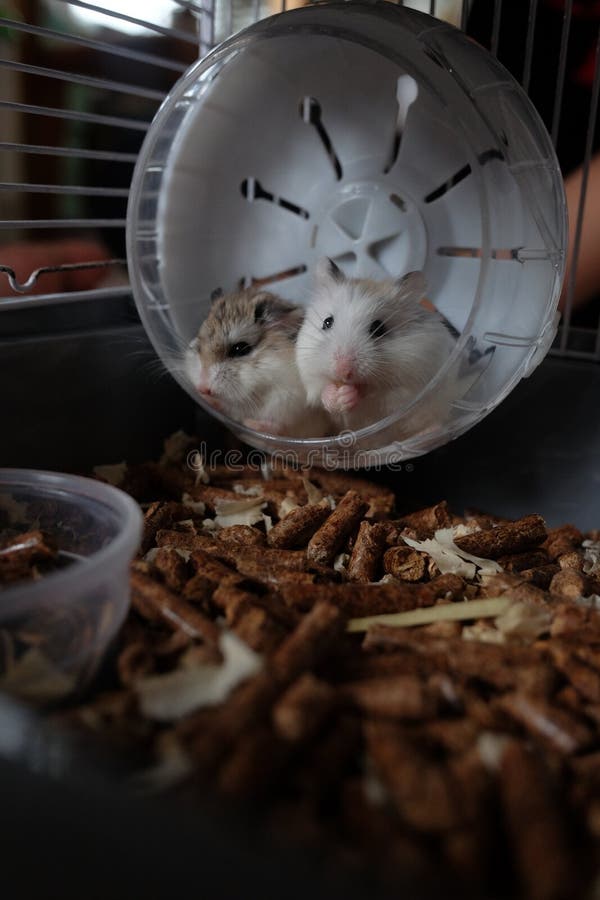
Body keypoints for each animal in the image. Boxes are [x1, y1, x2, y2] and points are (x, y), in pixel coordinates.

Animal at [185, 286, 332, 438]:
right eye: (199, 345)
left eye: (240, 348)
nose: (202, 388)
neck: (260, 389)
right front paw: (205, 398)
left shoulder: (290, 402)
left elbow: (280, 427)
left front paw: (251, 424)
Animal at [295, 259, 456, 434]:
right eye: (327, 322)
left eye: (379, 328)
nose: (343, 371)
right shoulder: (309, 375)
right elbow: (321, 390)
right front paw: (336, 398)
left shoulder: (405, 384)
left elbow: (374, 391)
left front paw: (347, 395)